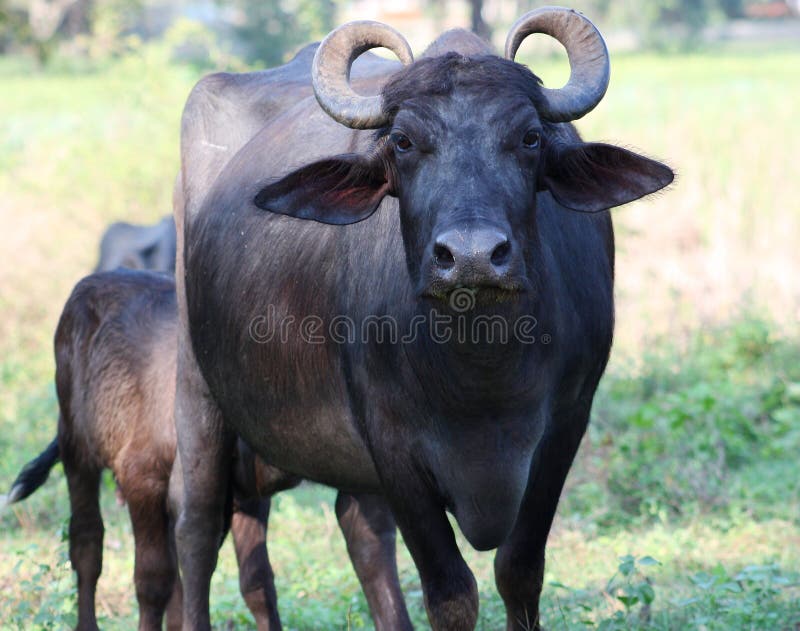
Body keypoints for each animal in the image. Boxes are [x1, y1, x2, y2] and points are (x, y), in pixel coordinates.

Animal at [173, 7, 673, 630]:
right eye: (404, 142)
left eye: (529, 138)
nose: (472, 256)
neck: (481, 370)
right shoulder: (391, 443)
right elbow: (451, 592)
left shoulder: (565, 427)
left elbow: (519, 571)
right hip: (196, 391)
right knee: (196, 532)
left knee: (360, 531)